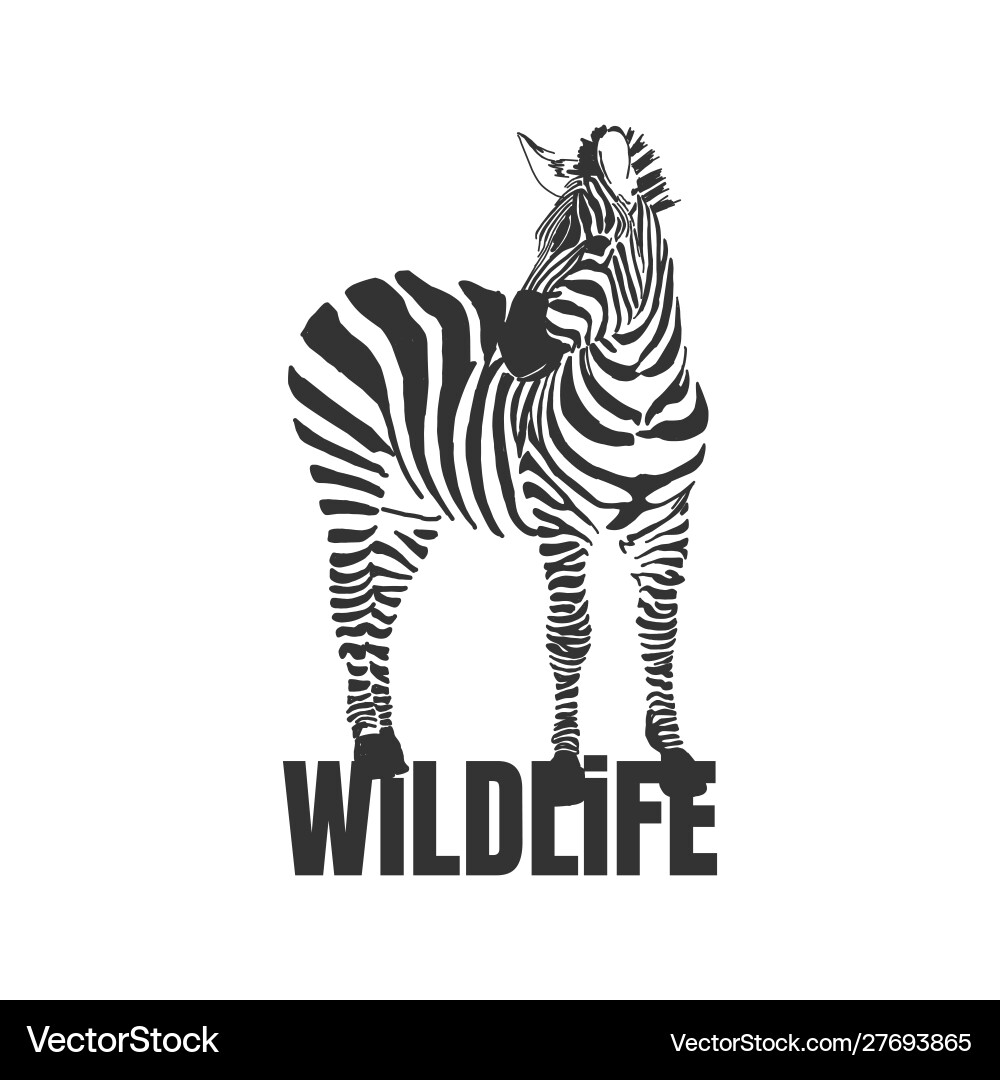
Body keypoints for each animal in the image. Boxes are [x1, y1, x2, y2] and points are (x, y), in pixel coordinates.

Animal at [290, 125, 709, 802]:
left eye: (596, 245)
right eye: (538, 241)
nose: (510, 349)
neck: (640, 404)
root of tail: (356, 289)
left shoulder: (669, 521)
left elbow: (659, 634)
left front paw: (670, 751)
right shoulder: (562, 519)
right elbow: (570, 635)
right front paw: (565, 763)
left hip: (413, 506)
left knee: (380, 608)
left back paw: (391, 741)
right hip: (345, 475)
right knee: (349, 599)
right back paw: (368, 746)